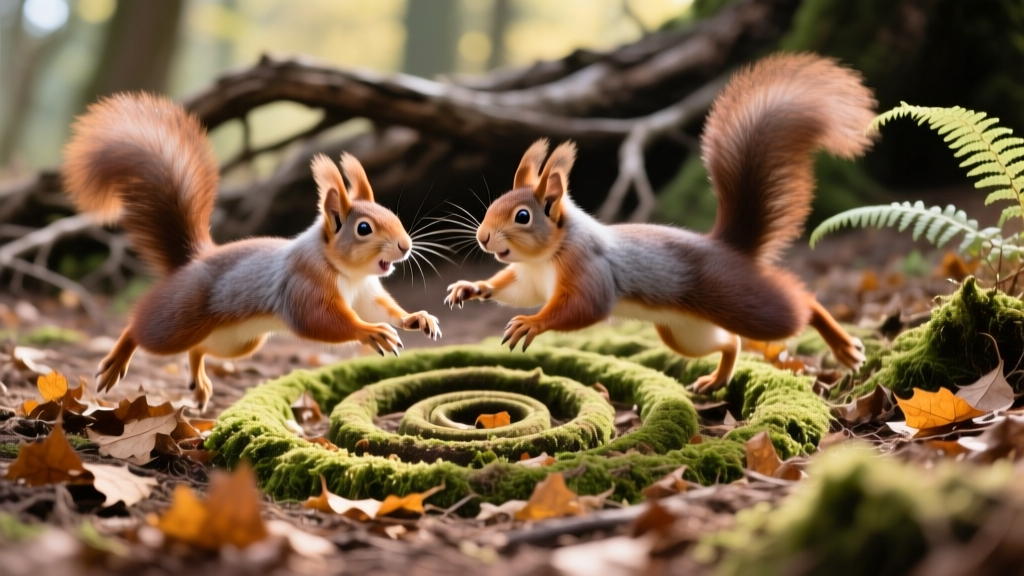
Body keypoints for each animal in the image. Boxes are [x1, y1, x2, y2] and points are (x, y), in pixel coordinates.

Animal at [62, 92, 441, 410]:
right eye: (364, 229)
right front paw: (372, 332)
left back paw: (200, 383)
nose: (405, 246)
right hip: (179, 319)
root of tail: (193, 261)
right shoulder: (303, 284)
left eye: (391, 213)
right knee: (141, 330)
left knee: (199, 348)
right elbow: (319, 320)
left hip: (236, 342)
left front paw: (416, 318)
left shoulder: (365, 293)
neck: (348, 273)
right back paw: (117, 360)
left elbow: (383, 309)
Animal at [444, 53, 875, 392]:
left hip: (746, 303)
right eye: (495, 203)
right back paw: (717, 378)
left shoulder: (589, 268)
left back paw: (843, 346)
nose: (482, 237)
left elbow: (585, 307)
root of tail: (726, 246)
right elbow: (512, 289)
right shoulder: (531, 279)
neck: (545, 257)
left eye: (523, 216)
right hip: (683, 332)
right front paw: (472, 287)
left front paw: (532, 323)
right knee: (730, 343)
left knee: (801, 305)